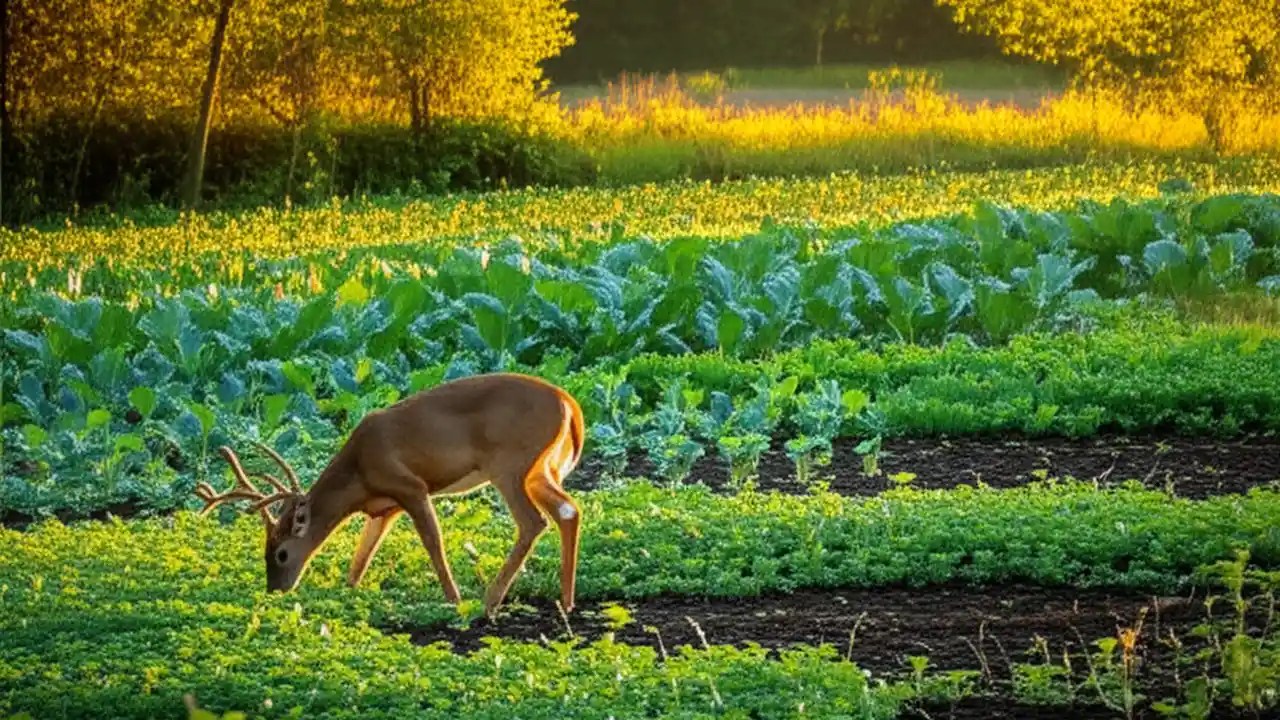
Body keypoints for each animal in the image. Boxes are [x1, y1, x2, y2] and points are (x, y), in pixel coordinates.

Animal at [193, 372, 586, 618]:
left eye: (281, 554)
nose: (275, 590)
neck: (360, 471)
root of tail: (571, 406)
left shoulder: (410, 486)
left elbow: (432, 542)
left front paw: (453, 599)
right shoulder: (384, 508)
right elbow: (362, 555)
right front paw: (348, 592)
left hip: (510, 464)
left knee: (533, 522)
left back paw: (489, 602)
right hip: (540, 470)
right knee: (569, 511)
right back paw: (566, 602)